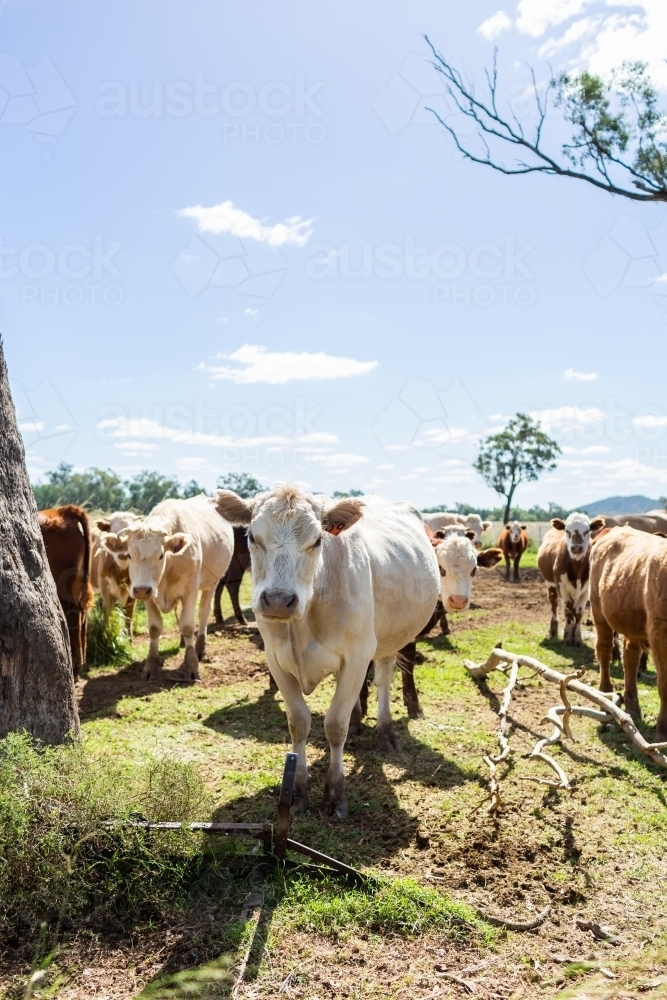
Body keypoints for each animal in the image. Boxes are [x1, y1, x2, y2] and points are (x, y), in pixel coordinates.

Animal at [101, 496, 234, 681]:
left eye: (161, 555)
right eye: (129, 555)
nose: (141, 590)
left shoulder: (191, 589)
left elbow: (188, 625)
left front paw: (191, 665)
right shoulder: (149, 596)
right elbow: (155, 628)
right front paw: (151, 665)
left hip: (211, 583)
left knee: (203, 612)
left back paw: (200, 648)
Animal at [212, 485, 440, 819]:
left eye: (317, 540)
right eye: (252, 537)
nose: (278, 600)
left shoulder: (357, 656)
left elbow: (334, 725)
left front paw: (335, 793)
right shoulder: (275, 660)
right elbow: (299, 722)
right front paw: (298, 792)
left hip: (389, 636)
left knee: (384, 677)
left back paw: (385, 732)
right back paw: (360, 721)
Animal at [537, 512, 605, 646]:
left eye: (587, 530)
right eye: (567, 531)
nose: (576, 548)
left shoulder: (586, 589)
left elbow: (578, 612)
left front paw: (577, 636)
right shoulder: (562, 586)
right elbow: (568, 610)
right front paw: (568, 636)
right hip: (550, 583)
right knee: (553, 602)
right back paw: (554, 629)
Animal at [590, 526, 667, 738]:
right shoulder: (659, 634)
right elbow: (665, 684)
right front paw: (663, 731)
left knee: (630, 659)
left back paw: (632, 706)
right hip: (599, 611)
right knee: (604, 651)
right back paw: (605, 695)